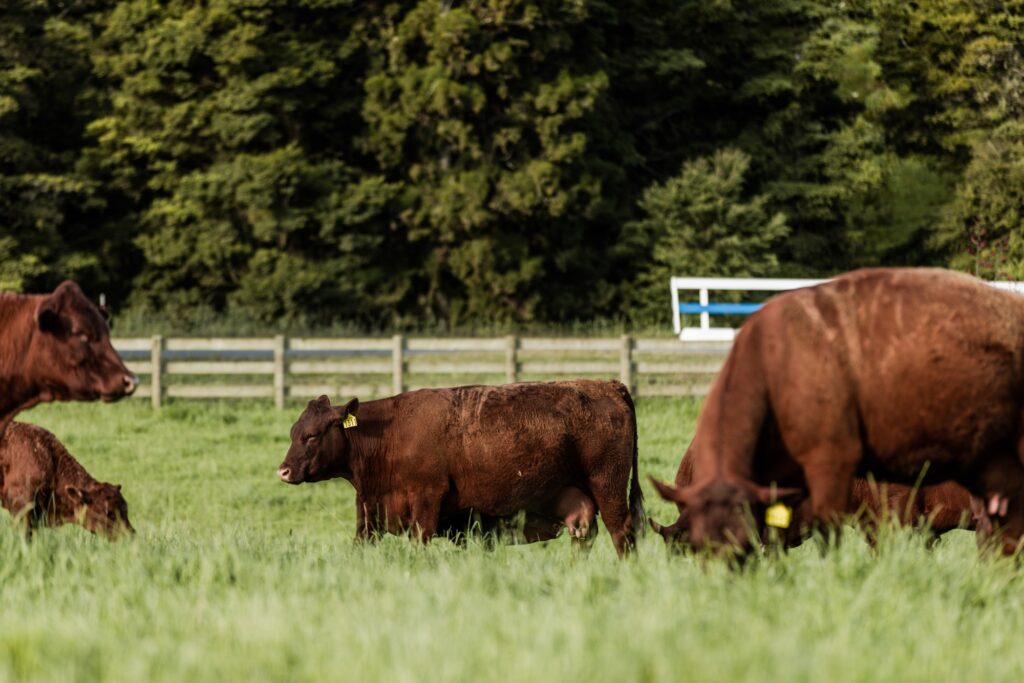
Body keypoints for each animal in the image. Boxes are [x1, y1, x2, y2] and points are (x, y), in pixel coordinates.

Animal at [277, 380, 644, 556]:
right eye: (294, 432)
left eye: (311, 435)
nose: (283, 471)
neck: (390, 432)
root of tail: (608, 385)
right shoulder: (370, 510)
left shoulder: (426, 501)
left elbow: (420, 543)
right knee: (583, 533)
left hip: (608, 486)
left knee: (621, 533)